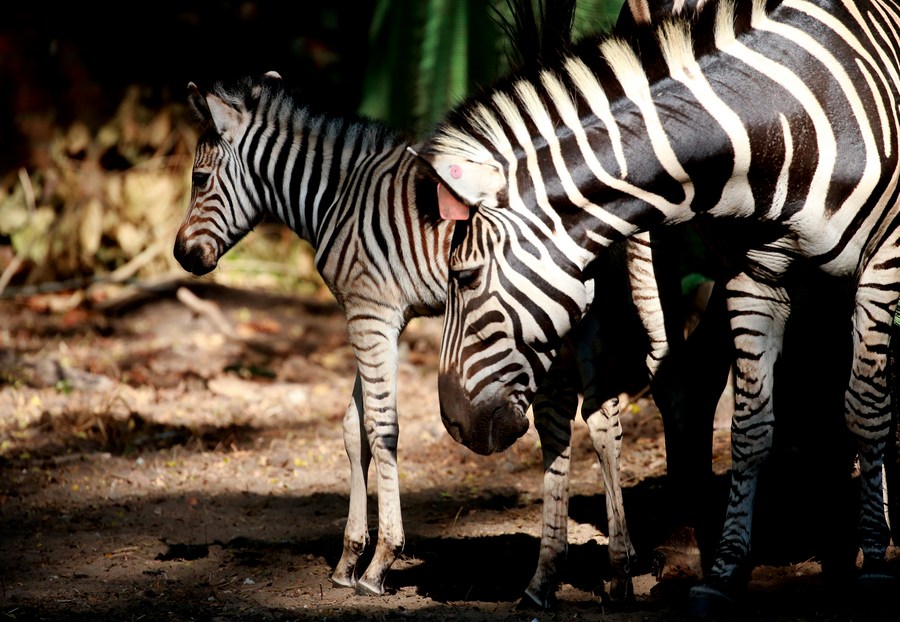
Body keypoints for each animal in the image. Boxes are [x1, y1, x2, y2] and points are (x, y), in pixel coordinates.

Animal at [413, 0, 900, 609]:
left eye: (464, 275)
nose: (454, 423)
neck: (769, 125)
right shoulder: (754, 273)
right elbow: (750, 426)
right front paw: (723, 571)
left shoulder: (882, 260)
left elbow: (866, 408)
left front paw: (875, 561)